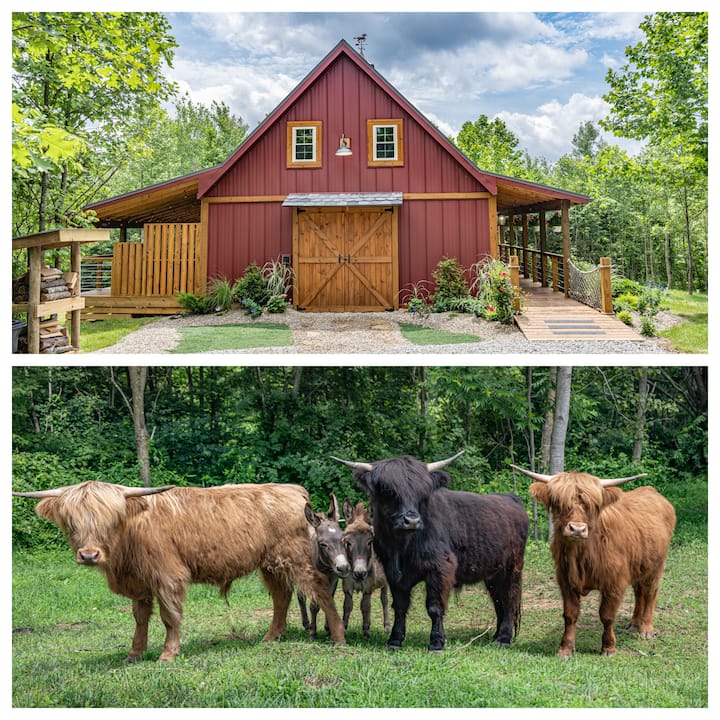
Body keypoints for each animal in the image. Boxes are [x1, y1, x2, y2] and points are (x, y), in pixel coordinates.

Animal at [297, 493, 350, 638]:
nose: (343, 567)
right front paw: (313, 632)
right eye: (322, 544)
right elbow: (314, 605)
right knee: (300, 596)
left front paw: (329, 629)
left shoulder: (333, 578)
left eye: (344, 539)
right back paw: (306, 624)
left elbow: (329, 601)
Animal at [340, 499, 390, 638]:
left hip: (386, 582)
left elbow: (365, 606)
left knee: (384, 600)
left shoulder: (368, 587)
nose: (360, 573)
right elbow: (347, 606)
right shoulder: (347, 585)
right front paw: (344, 628)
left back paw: (387, 626)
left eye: (370, 542)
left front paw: (366, 631)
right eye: (348, 543)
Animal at [511, 465, 676, 657]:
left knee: (650, 592)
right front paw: (565, 649)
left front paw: (608, 647)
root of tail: (651, 491)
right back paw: (634, 623)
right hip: (639, 565)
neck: (582, 556)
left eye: (591, 506)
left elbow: (607, 615)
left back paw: (646, 629)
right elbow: (570, 614)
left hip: (656, 566)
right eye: (560, 503)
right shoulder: (565, 580)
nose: (577, 529)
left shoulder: (615, 583)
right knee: (639, 592)